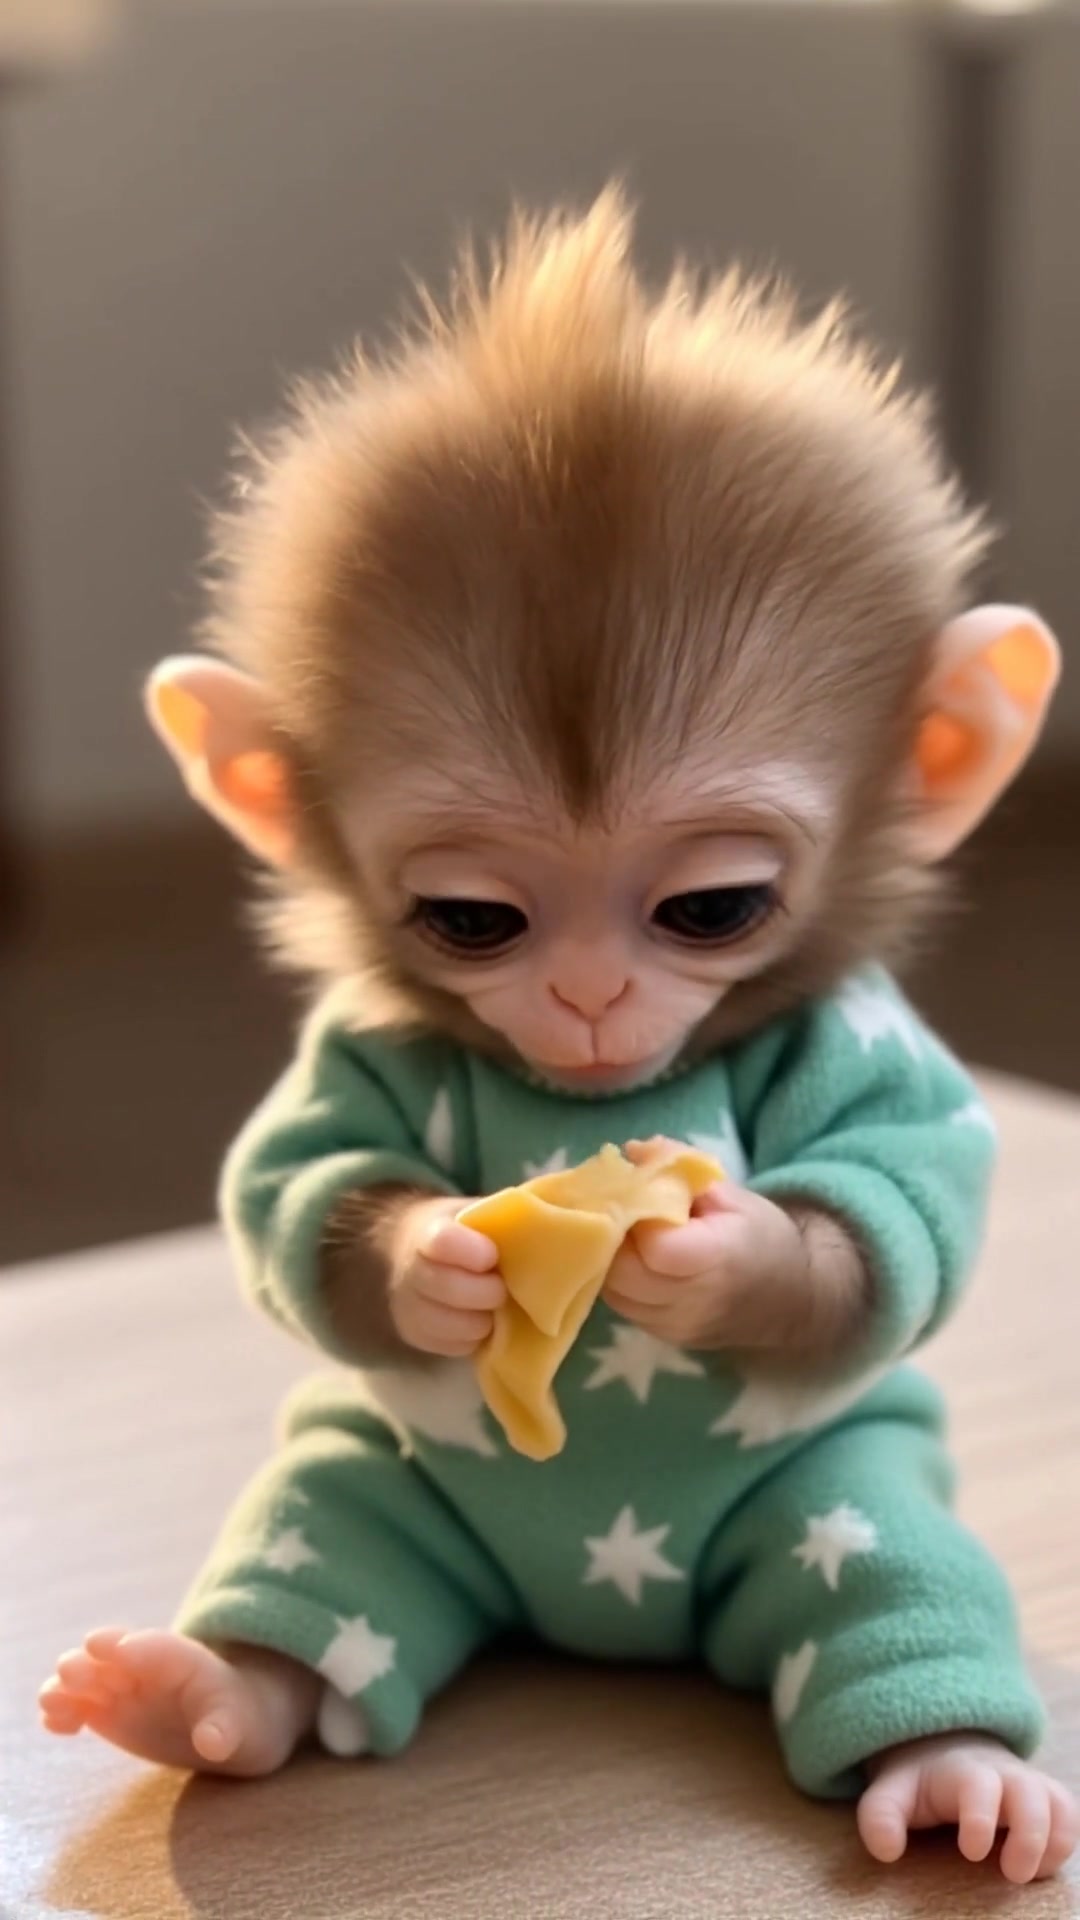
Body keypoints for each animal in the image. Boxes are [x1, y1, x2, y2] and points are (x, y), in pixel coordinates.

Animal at [39, 191, 1077, 1882]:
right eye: (474, 921)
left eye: (714, 909)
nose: (589, 1001)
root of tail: (604, 1620)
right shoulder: (337, 1076)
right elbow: (292, 1181)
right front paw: (435, 1262)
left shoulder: (882, 1065)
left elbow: (896, 1214)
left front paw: (719, 1258)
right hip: (372, 1475)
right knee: (331, 1553)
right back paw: (196, 1688)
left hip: (846, 1496)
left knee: (883, 1573)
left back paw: (958, 1775)